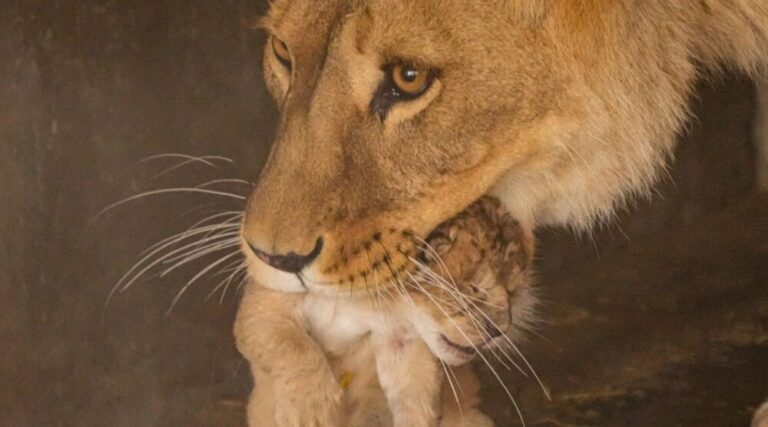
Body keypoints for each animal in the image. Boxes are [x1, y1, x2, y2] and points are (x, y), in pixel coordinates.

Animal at [236, 196, 535, 426]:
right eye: (474, 288)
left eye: (512, 291)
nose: (501, 329)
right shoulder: (267, 303)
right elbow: (294, 346)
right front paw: (312, 410)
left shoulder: (400, 337)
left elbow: (416, 388)